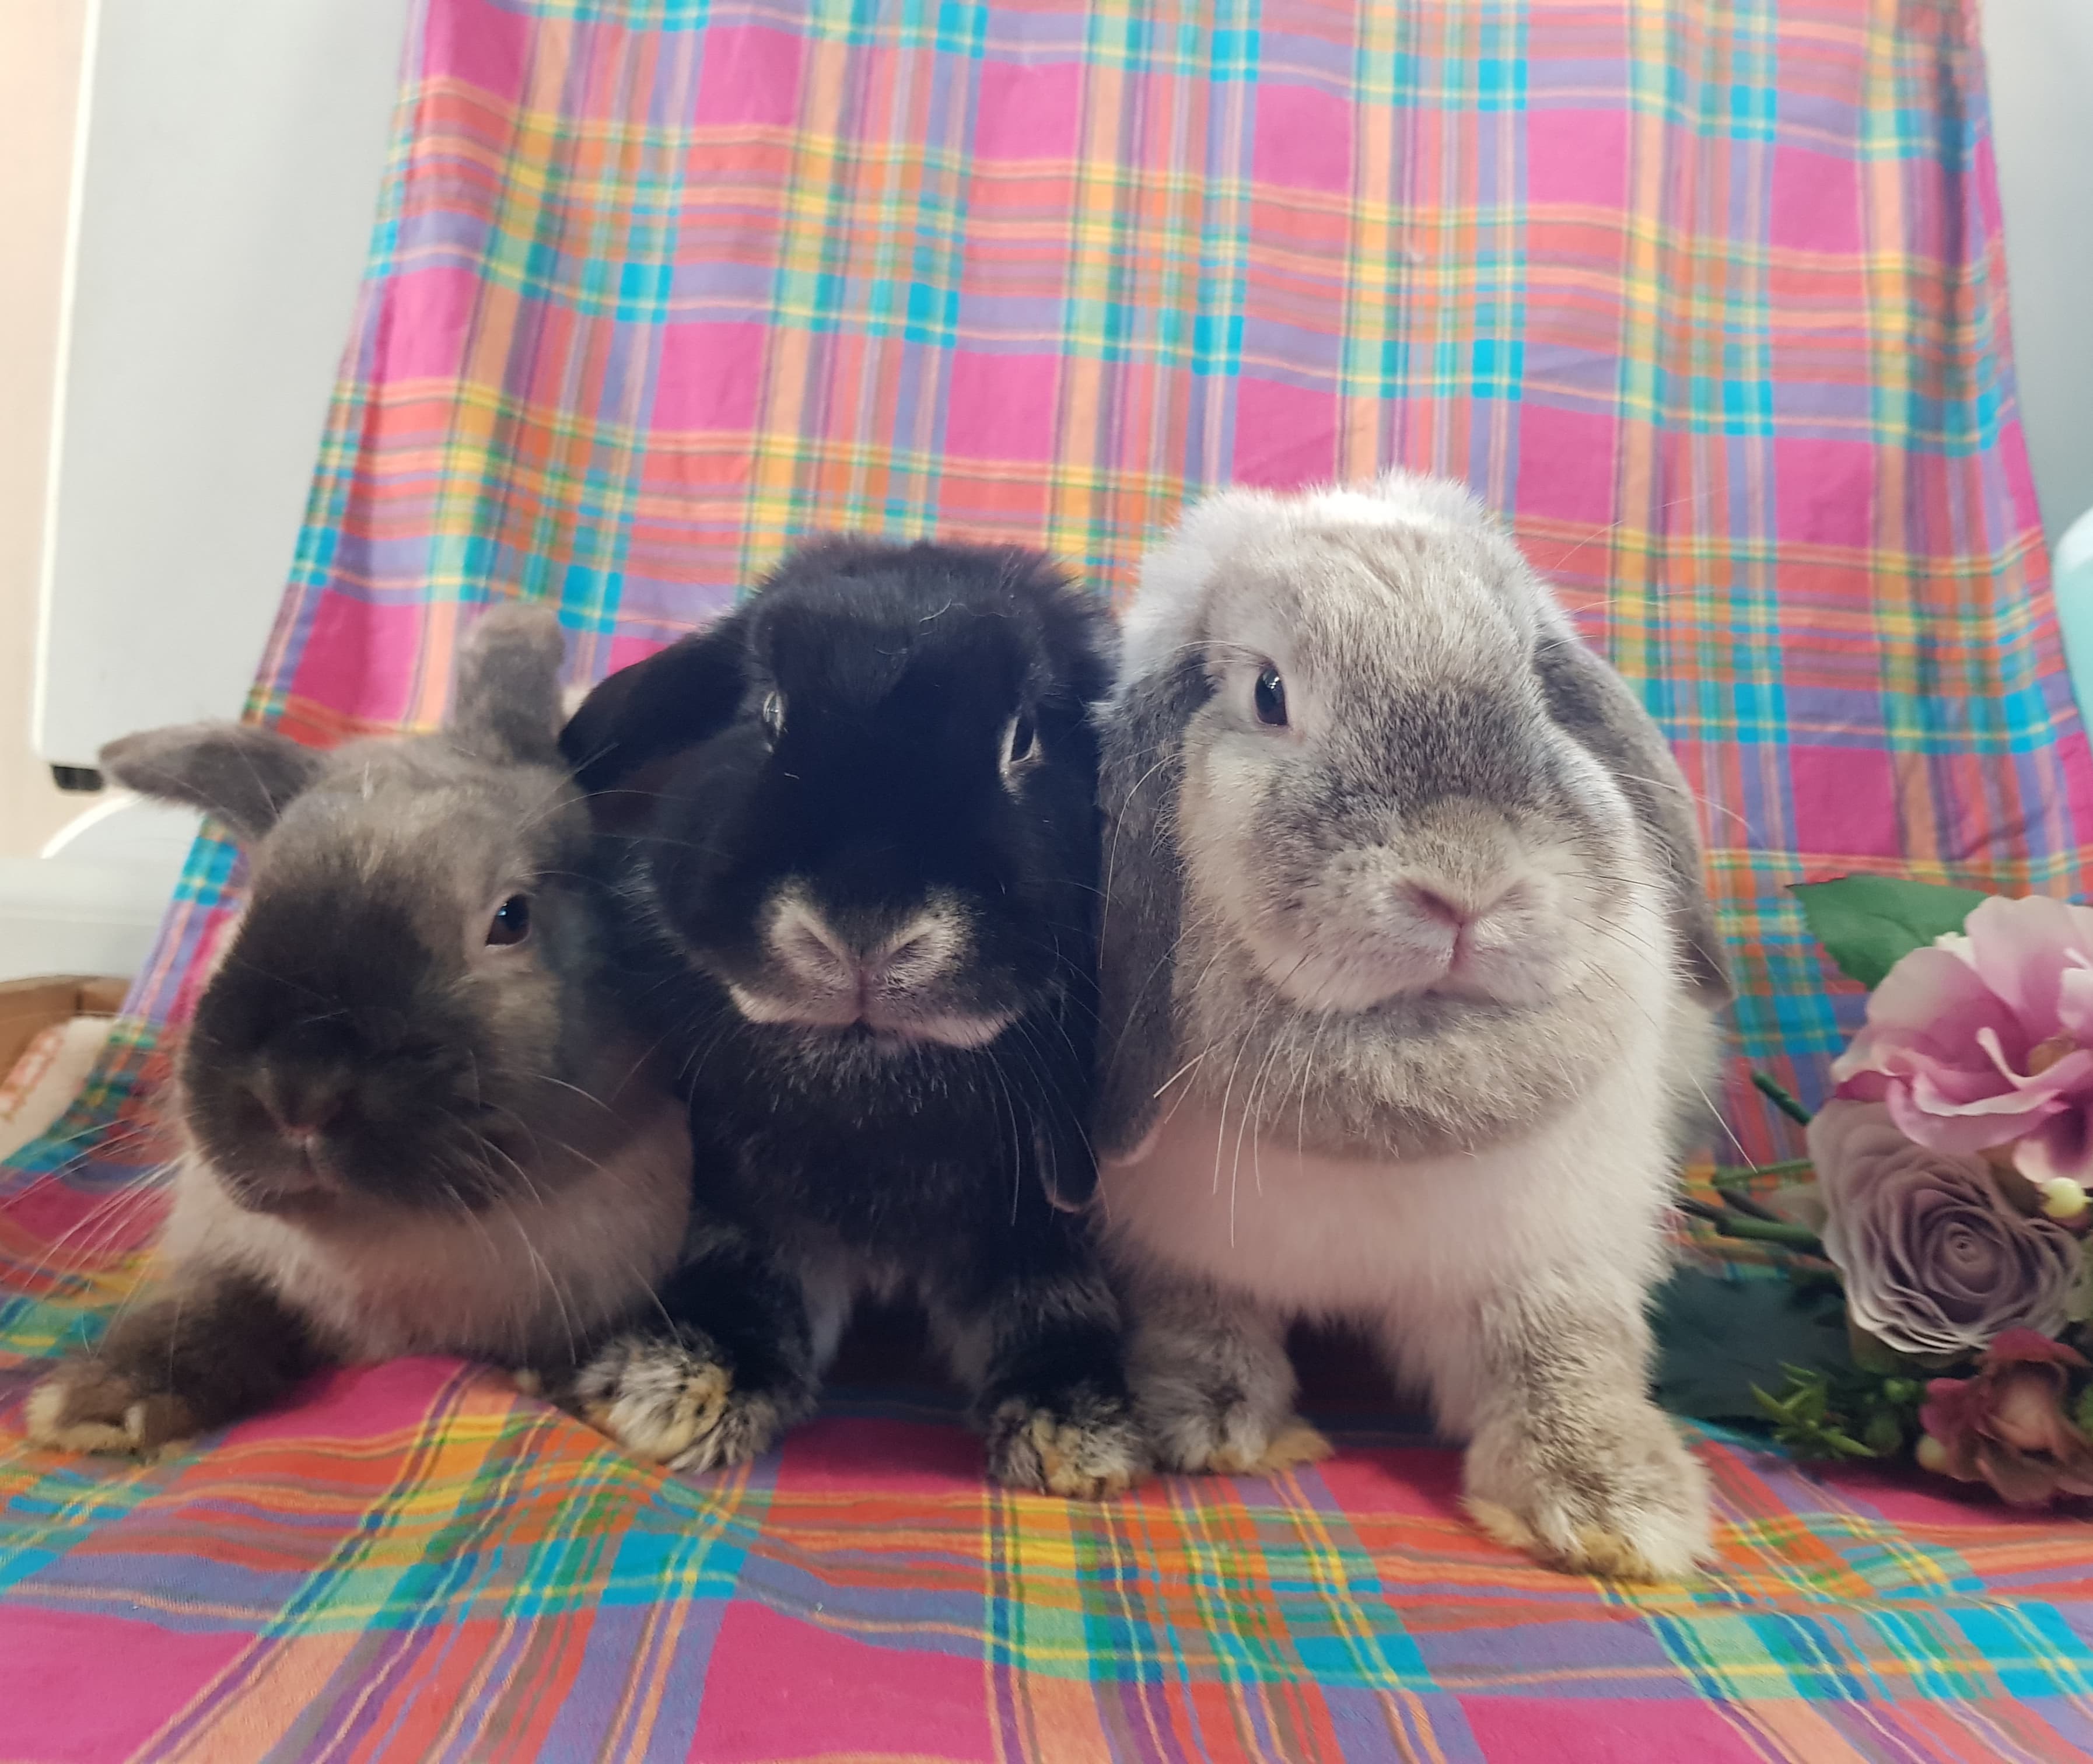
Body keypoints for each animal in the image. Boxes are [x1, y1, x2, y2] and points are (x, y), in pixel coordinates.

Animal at [25, 604, 693, 1458]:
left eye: (511, 918)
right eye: (252, 904)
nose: (299, 1092)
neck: (390, 1237)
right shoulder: (237, 1261)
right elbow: (215, 1310)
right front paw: (99, 1407)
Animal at [553, 537, 1148, 1498]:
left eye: (1023, 740)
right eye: (766, 713)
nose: (864, 930)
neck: (873, 1082)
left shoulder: (1030, 1221)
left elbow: (1049, 1300)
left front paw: (1076, 1437)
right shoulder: (744, 1190)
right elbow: (739, 1271)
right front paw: (673, 1391)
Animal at [1093, 471, 1732, 1580]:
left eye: (1538, 685)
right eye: (1268, 693)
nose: (1466, 884)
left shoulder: (1546, 1262)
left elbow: (1565, 1352)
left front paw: (1617, 1507)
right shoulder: (1176, 1250)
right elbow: (1201, 1320)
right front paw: (1215, 1424)